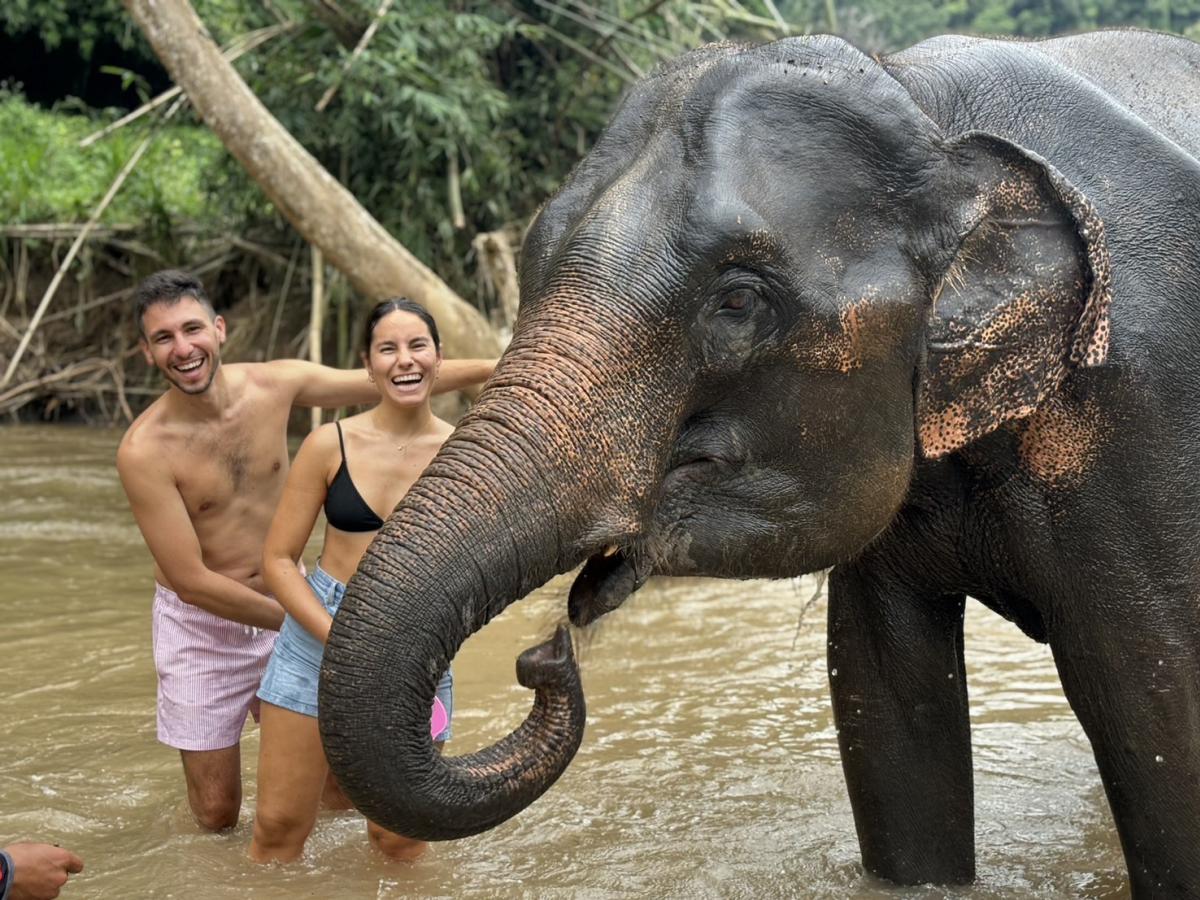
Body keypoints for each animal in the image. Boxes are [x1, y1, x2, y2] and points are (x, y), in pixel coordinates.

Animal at [318, 29, 1200, 896]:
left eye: (737, 300)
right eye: (532, 266)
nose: (543, 656)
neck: (926, 105)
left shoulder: (1142, 415)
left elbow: (1156, 710)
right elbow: (885, 704)